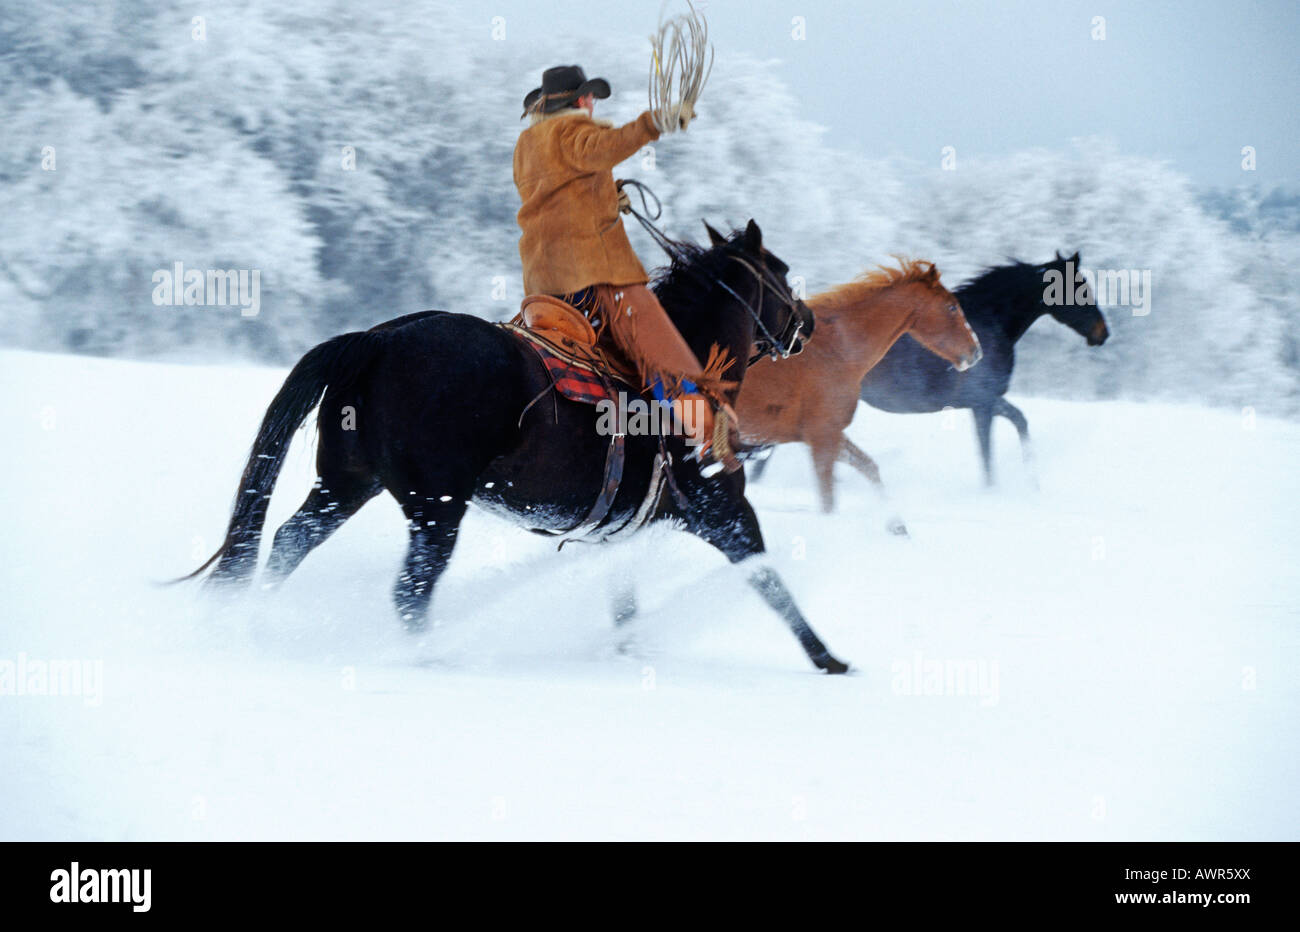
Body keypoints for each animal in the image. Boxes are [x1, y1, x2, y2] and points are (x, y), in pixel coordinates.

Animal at [181, 220, 852, 674]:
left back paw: (255, 626)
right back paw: (429, 657)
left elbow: (624, 602)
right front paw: (829, 659)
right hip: (436, 510)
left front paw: (628, 653)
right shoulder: (725, 511)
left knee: (289, 543)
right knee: (409, 592)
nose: (808, 321)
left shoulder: (626, 535)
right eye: (781, 272)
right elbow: (770, 582)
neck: (682, 373)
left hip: (346, 485)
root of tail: (376, 340)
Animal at [736, 259, 981, 533]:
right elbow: (828, 500)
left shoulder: (828, 434)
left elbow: (869, 467)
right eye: (952, 307)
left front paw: (897, 526)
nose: (976, 351)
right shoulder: (822, 436)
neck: (836, 350)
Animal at [858, 252, 1109, 485]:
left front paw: (1032, 482)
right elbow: (987, 456)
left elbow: (1019, 421)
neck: (988, 323)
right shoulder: (983, 402)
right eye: (1081, 289)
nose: (1103, 332)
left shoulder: (987, 401)